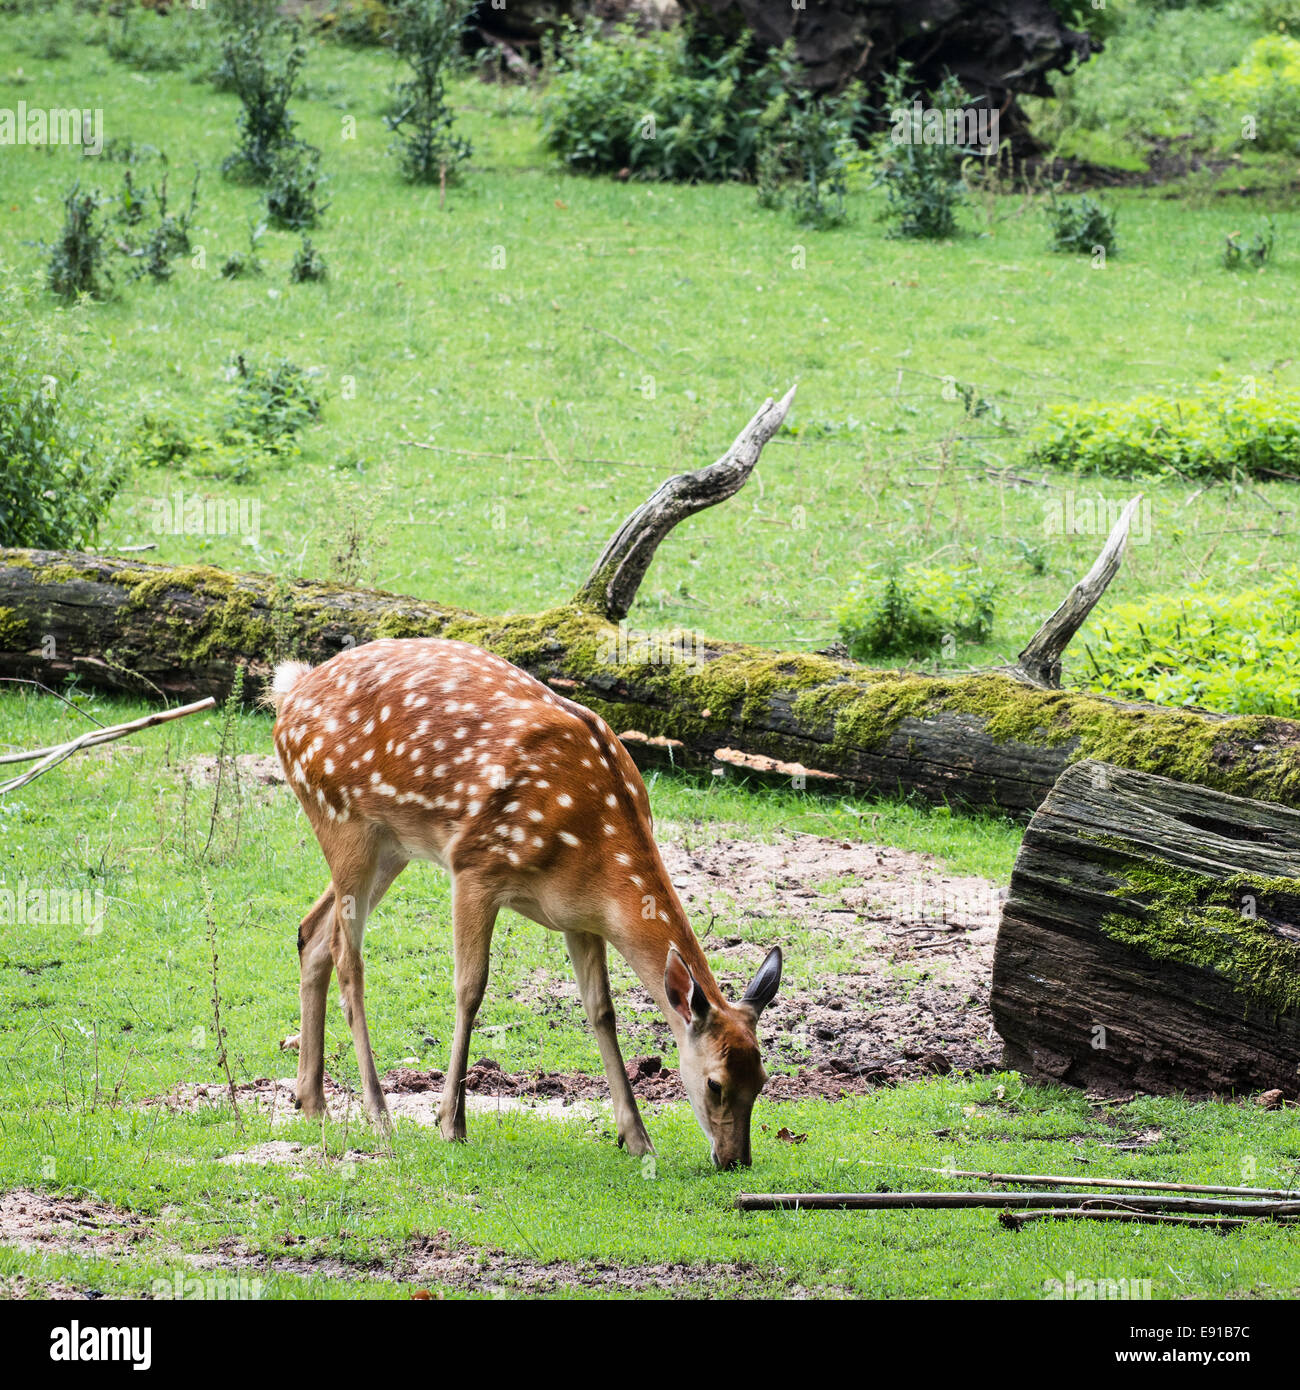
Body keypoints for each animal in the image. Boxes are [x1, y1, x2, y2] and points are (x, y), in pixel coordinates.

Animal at [269, 636, 783, 1169]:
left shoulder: (580, 919)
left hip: (392, 845)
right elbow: (470, 990)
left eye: (763, 1080)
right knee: (348, 958)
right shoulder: (473, 866)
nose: (735, 1160)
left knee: (312, 932)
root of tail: (289, 692)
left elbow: (602, 1010)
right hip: (343, 819)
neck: (593, 851)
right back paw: (378, 1114)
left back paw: (312, 1102)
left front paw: (637, 1138)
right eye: (715, 1083)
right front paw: (450, 1123)